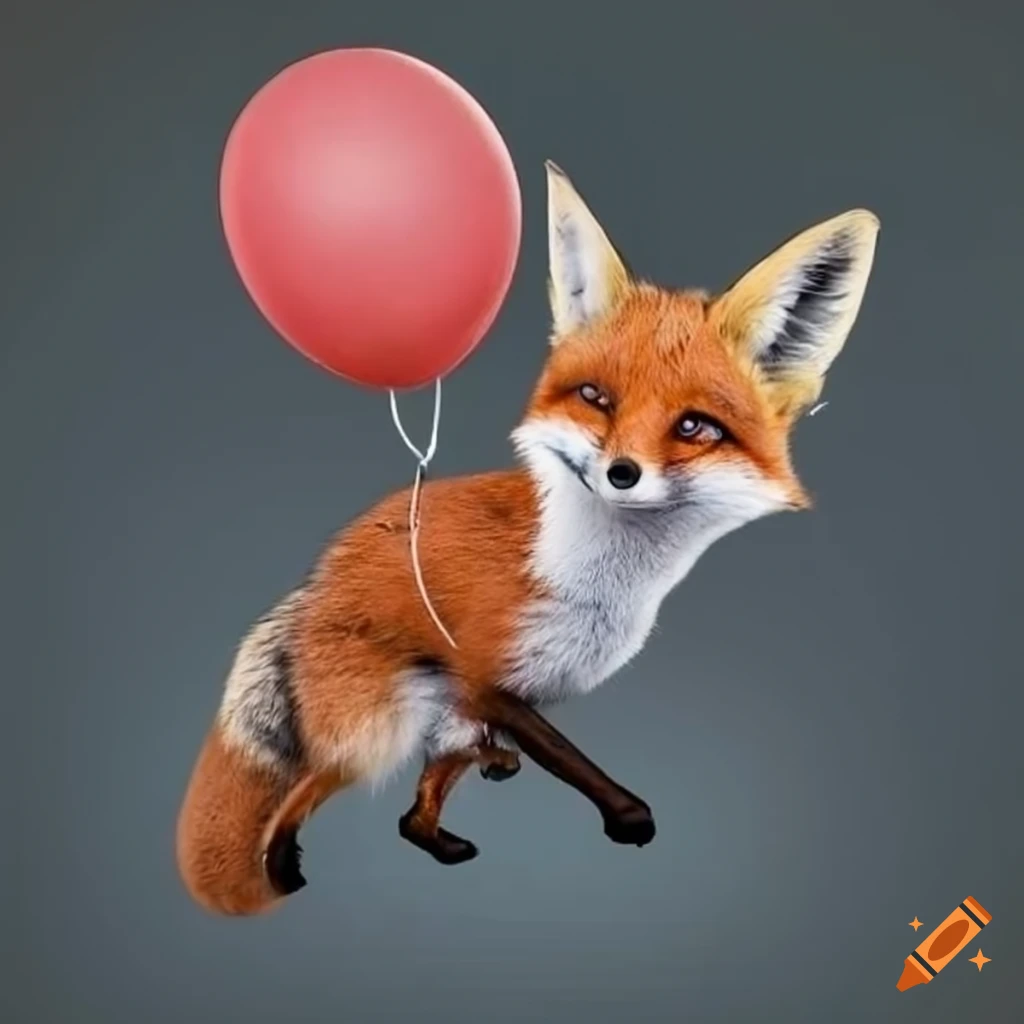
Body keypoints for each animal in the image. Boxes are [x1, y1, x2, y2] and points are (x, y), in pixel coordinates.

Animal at [176, 161, 880, 916]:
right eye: (596, 398)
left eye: (694, 426)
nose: (621, 473)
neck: (600, 585)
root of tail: (315, 586)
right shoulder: (486, 676)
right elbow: (566, 754)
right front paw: (629, 817)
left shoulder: (502, 695)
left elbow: (532, 751)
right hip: (384, 727)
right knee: (305, 792)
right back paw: (283, 870)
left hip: (440, 727)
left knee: (411, 815)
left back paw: (446, 841)